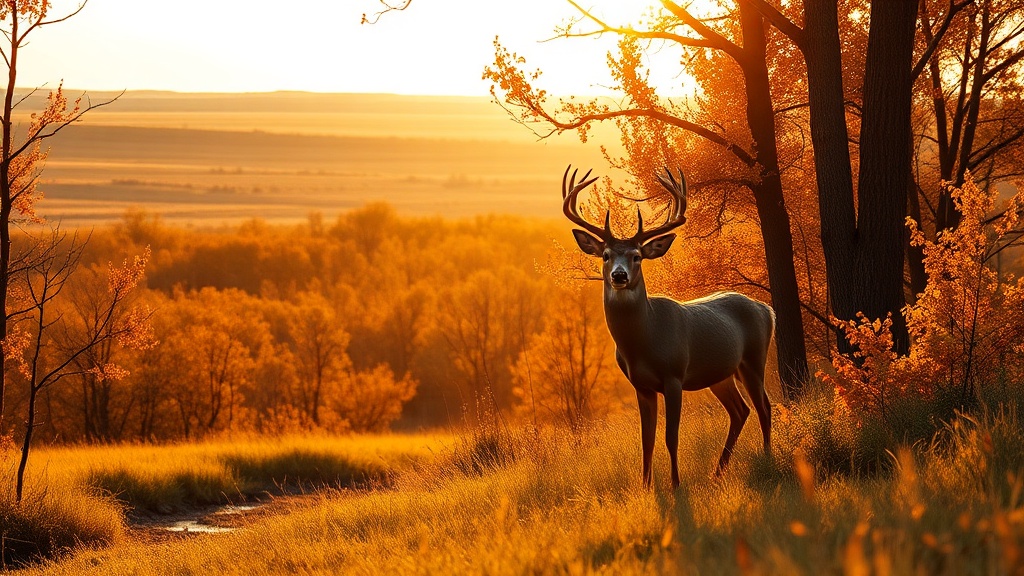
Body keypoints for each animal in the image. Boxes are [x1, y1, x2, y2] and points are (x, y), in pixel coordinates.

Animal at [561, 165, 775, 489]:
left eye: (637, 256)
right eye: (606, 255)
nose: (619, 276)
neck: (644, 341)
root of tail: (766, 309)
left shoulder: (674, 376)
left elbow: (670, 437)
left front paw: (675, 484)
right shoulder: (641, 385)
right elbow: (646, 439)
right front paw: (645, 486)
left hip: (753, 359)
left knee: (764, 406)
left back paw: (767, 457)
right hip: (720, 374)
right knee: (741, 411)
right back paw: (717, 472)